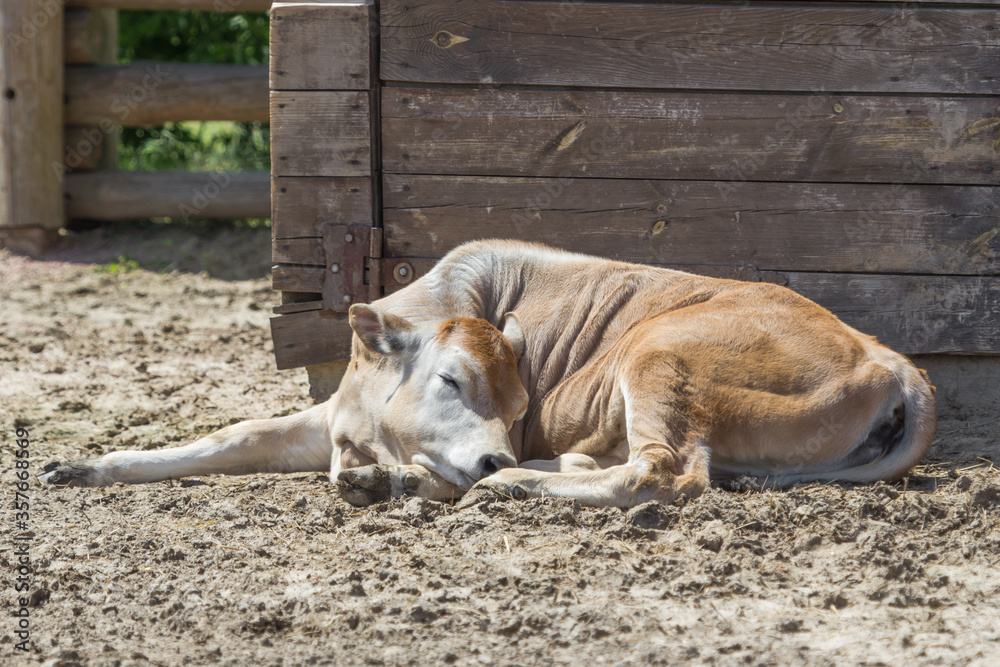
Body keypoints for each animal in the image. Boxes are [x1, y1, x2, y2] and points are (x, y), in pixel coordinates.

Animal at [40, 241, 937, 508]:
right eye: (450, 379)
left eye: (519, 399)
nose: (499, 451)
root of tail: (887, 355)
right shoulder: (324, 421)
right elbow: (228, 435)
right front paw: (82, 465)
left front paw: (404, 481)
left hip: (659, 356)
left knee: (662, 472)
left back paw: (513, 486)